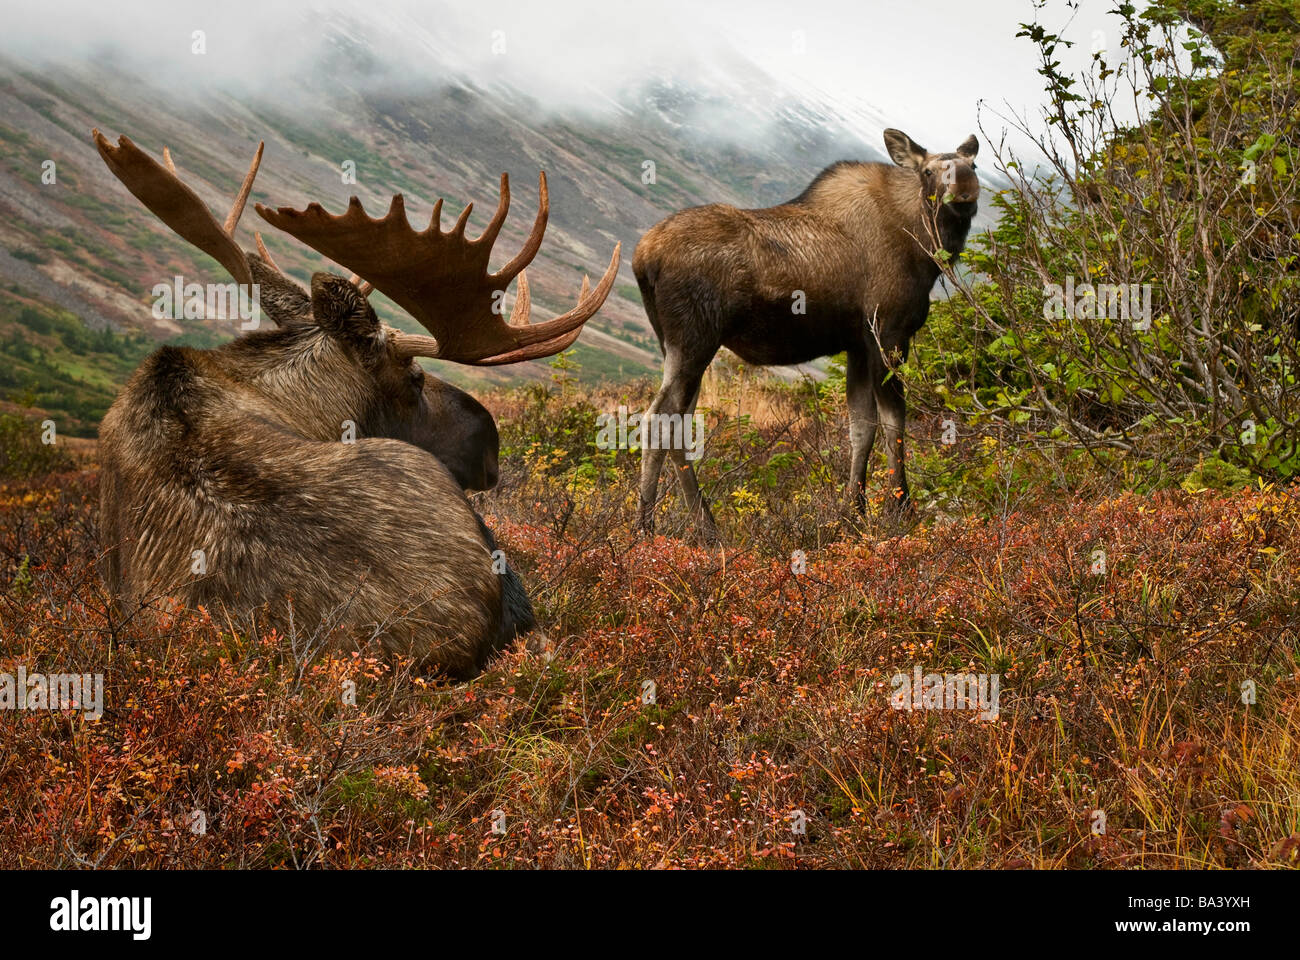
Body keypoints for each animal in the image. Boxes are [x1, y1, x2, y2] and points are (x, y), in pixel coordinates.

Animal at [632, 128, 980, 544]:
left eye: (974, 164)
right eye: (928, 171)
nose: (964, 187)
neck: (925, 248)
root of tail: (642, 257)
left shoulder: (858, 346)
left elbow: (861, 428)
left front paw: (853, 512)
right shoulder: (888, 334)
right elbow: (894, 422)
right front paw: (901, 509)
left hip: (675, 345)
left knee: (677, 422)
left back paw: (695, 524)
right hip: (694, 340)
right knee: (659, 419)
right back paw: (653, 527)